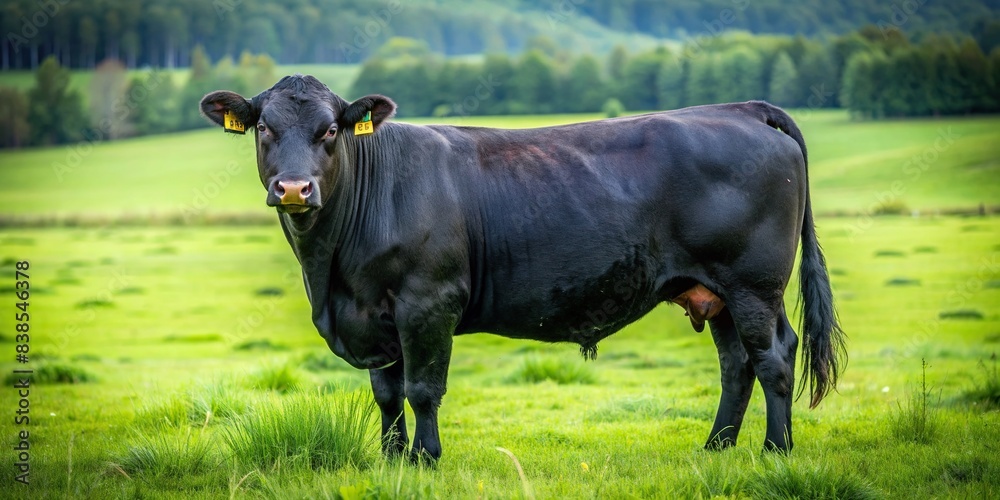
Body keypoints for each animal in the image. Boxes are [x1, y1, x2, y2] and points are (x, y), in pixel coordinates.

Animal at [200, 75, 844, 462]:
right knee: (737, 365)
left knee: (773, 358)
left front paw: (426, 459)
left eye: (331, 129)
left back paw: (774, 451)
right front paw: (392, 459)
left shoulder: (427, 303)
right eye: (263, 127)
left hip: (753, 285)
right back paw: (715, 448)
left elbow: (422, 388)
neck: (333, 276)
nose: (294, 188)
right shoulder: (375, 319)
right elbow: (386, 394)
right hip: (714, 292)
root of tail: (741, 108)